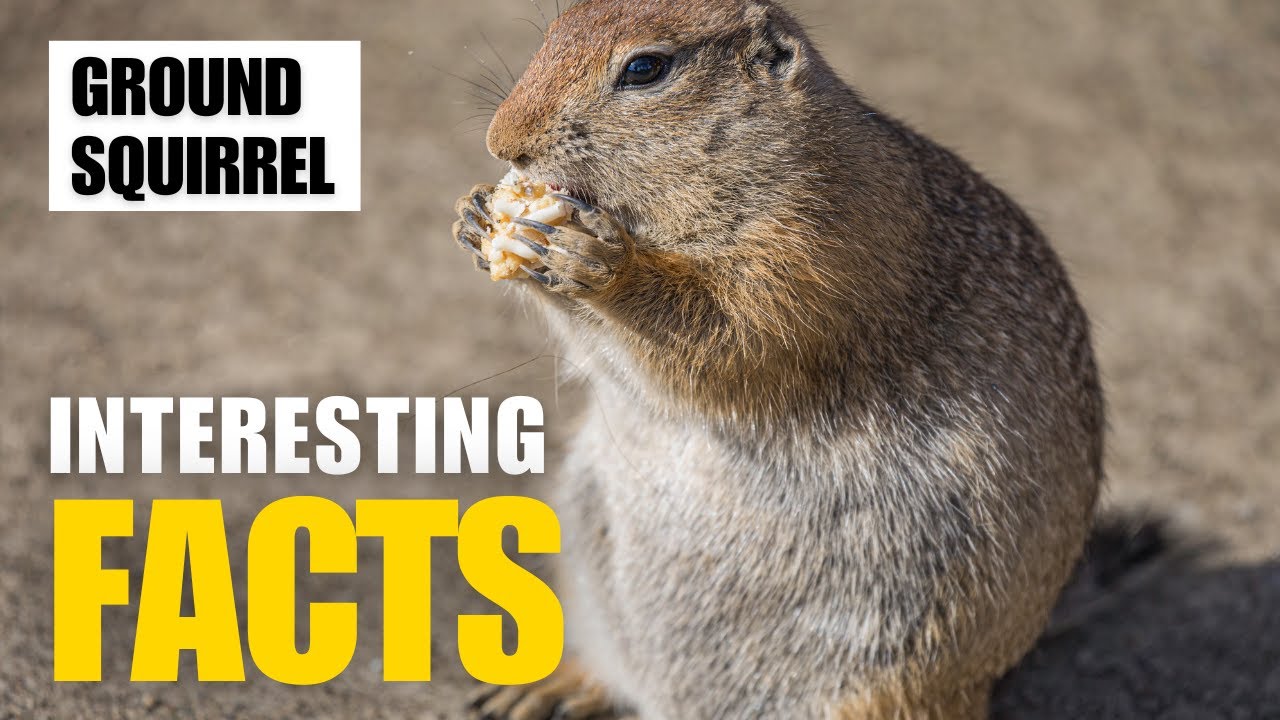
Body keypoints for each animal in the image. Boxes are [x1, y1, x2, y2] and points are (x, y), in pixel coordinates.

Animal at [451, 0, 1102, 717]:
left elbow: (734, 335)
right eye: (554, 29)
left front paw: (599, 262)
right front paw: (478, 217)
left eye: (645, 68)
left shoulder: (820, 244)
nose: (501, 142)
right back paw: (551, 686)